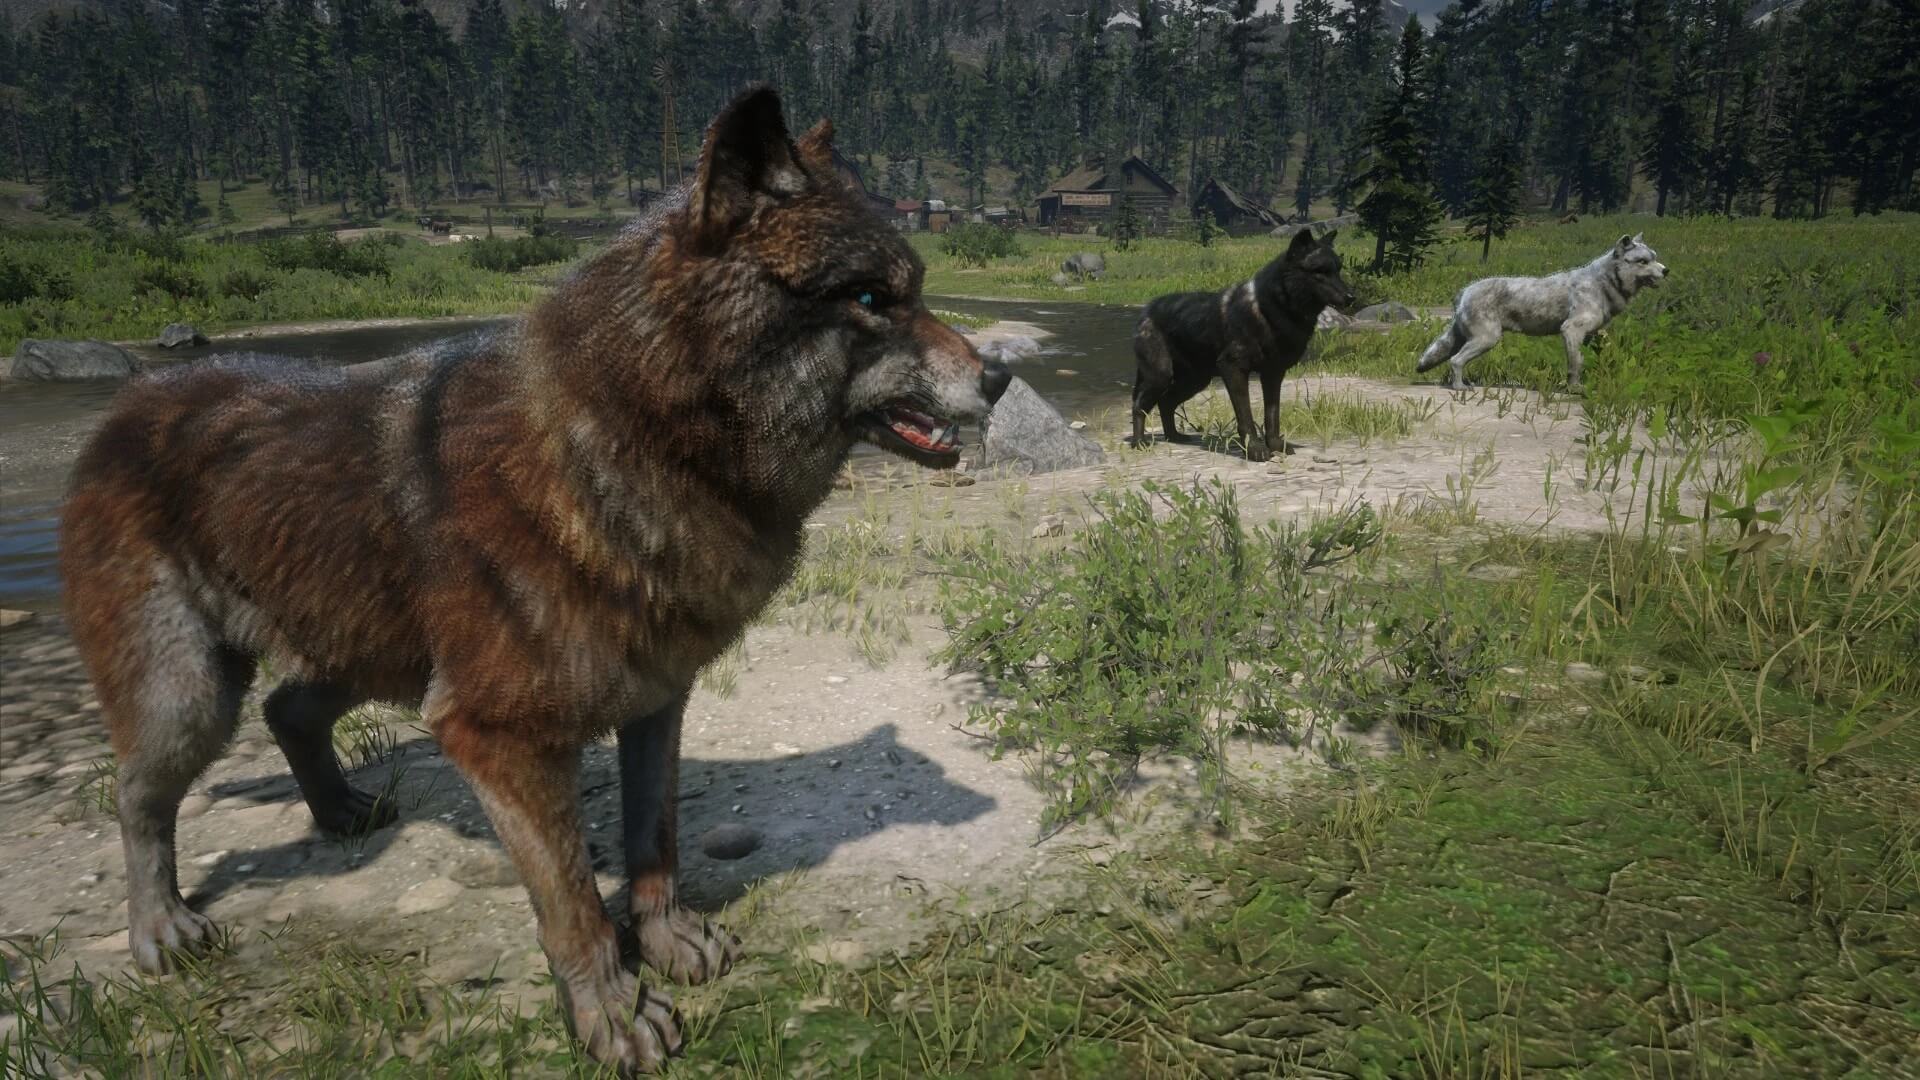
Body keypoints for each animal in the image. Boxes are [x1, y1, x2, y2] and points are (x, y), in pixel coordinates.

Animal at [58, 84, 1010, 1075]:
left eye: (919, 289)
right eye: (869, 299)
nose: (1002, 375)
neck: (640, 429)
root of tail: (123, 406)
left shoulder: (653, 702)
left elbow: (654, 838)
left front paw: (667, 940)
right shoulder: (496, 737)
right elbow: (572, 903)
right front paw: (611, 1012)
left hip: (362, 649)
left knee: (288, 709)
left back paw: (340, 809)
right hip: (194, 697)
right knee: (137, 797)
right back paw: (159, 927)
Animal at [1130, 227, 1357, 460]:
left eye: (1338, 270)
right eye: (1320, 271)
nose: (1351, 297)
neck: (1268, 310)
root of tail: (1147, 310)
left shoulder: (1273, 374)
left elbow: (1272, 415)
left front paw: (1275, 445)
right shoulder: (1234, 370)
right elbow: (1246, 416)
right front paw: (1255, 449)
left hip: (1195, 381)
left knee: (1165, 402)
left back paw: (1174, 437)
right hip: (1161, 376)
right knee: (1139, 406)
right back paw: (1140, 443)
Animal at [1415, 233, 1668, 391]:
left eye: (1655, 257)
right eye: (1643, 261)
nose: (1666, 271)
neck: (1603, 283)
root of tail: (1464, 292)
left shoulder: (1590, 336)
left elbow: (1584, 360)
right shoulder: (1571, 331)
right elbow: (1575, 363)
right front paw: (1574, 389)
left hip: (1470, 339)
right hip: (1486, 340)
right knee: (1456, 361)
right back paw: (1460, 387)